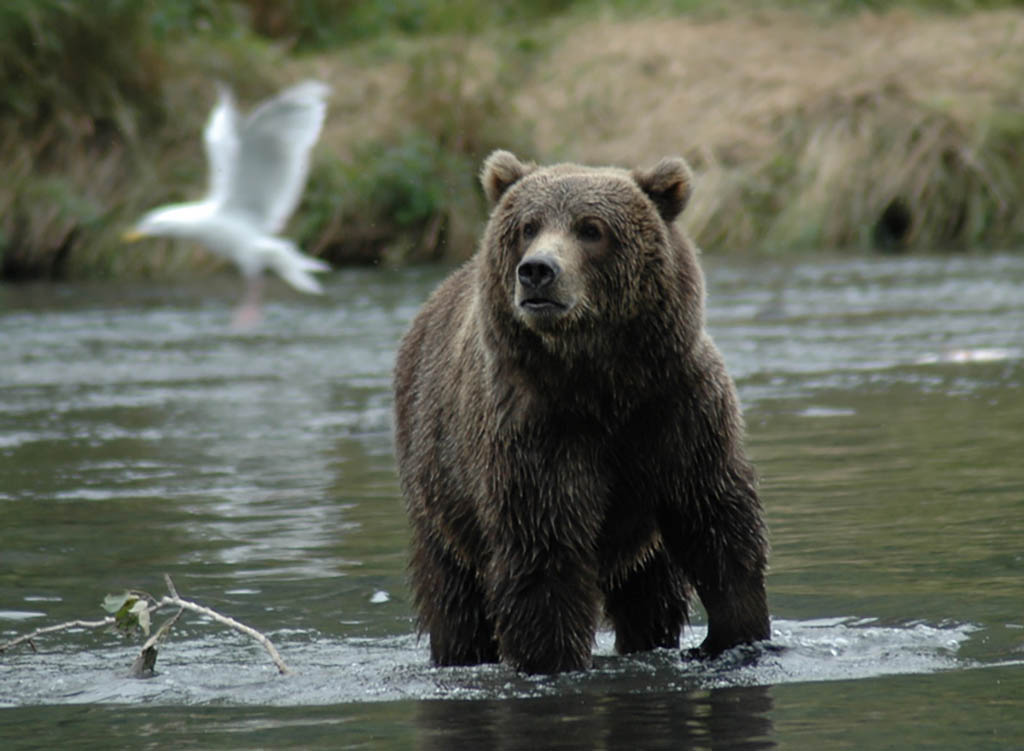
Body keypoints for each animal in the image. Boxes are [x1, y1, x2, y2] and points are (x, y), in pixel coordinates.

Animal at [392, 150, 770, 674]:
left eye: (591, 229)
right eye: (528, 227)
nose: (536, 271)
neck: (600, 382)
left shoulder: (676, 410)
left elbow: (716, 522)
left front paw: (738, 637)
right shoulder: (536, 428)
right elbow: (545, 554)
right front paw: (551, 659)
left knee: (650, 592)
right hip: (440, 486)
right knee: (453, 594)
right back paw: (460, 652)